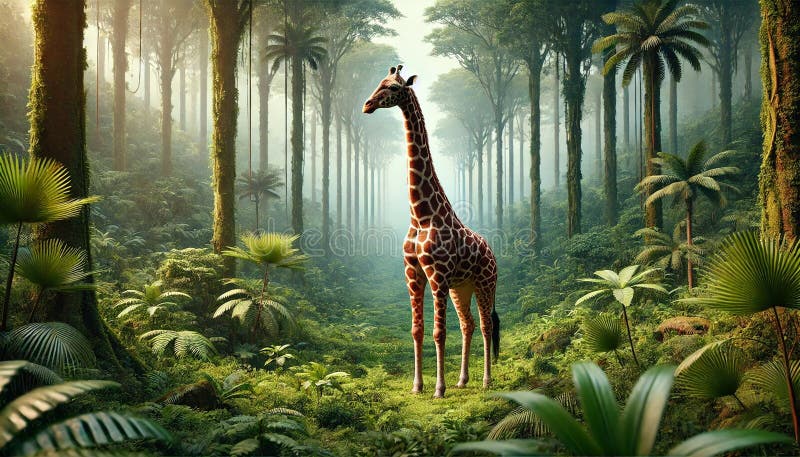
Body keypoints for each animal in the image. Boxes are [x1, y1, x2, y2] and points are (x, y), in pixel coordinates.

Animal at [363, 65, 499, 398]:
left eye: (393, 88)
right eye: (379, 83)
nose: (367, 105)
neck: (421, 216)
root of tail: (492, 253)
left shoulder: (437, 276)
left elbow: (439, 332)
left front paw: (438, 388)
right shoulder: (413, 274)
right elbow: (418, 330)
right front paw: (417, 385)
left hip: (485, 283)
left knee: (486, 325)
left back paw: (486, 380)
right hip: (461, 288)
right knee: (468, 324)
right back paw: (463, 380)